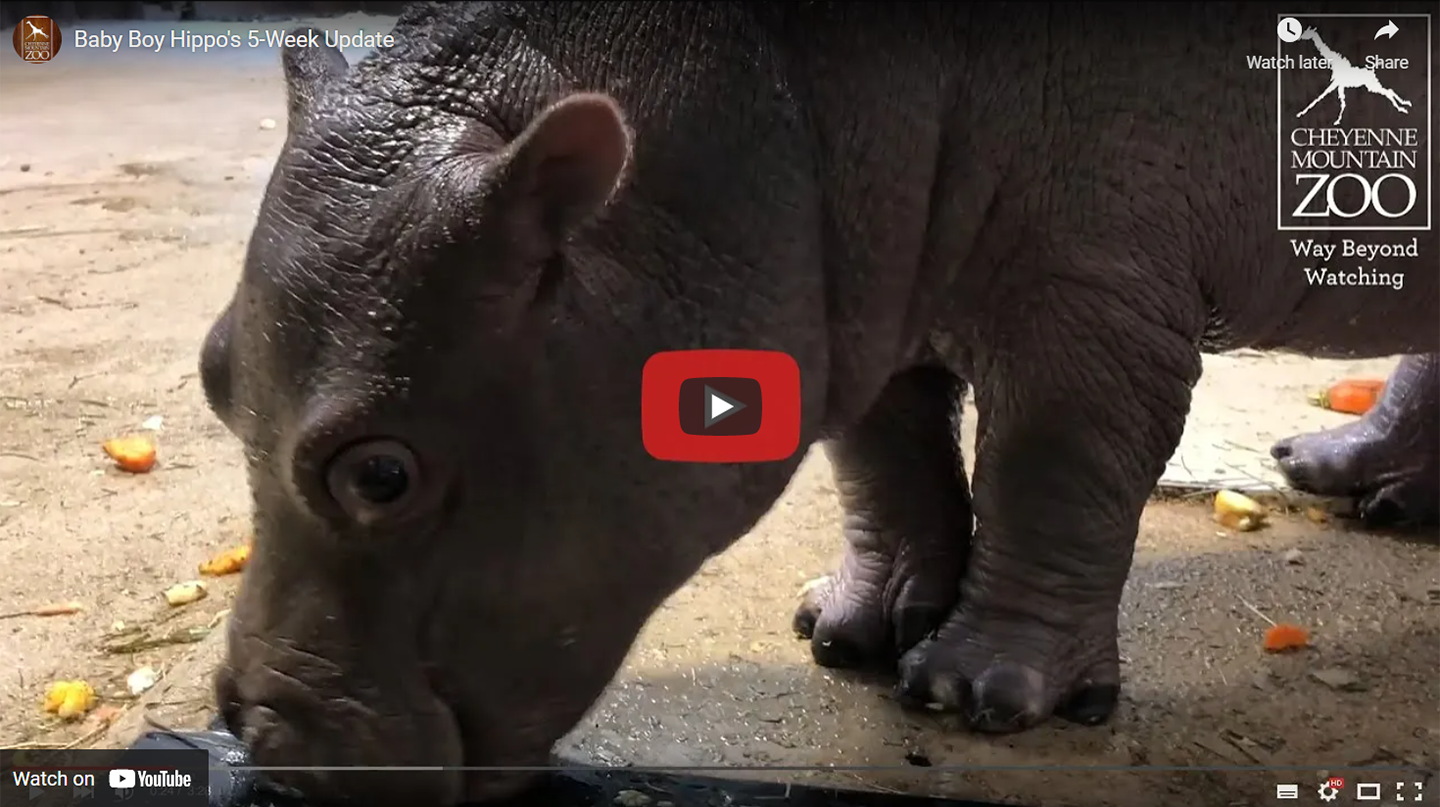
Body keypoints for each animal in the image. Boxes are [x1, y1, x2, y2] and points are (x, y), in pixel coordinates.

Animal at [200, 2, 1439, 804]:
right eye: (214, 374)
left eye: (380, 473)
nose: (263, 739)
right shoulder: (864, 286)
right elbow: (888, 460)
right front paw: (846, 635)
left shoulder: (1095, 307)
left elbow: (1050, 471)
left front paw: (973, 693)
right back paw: (1335, 474)